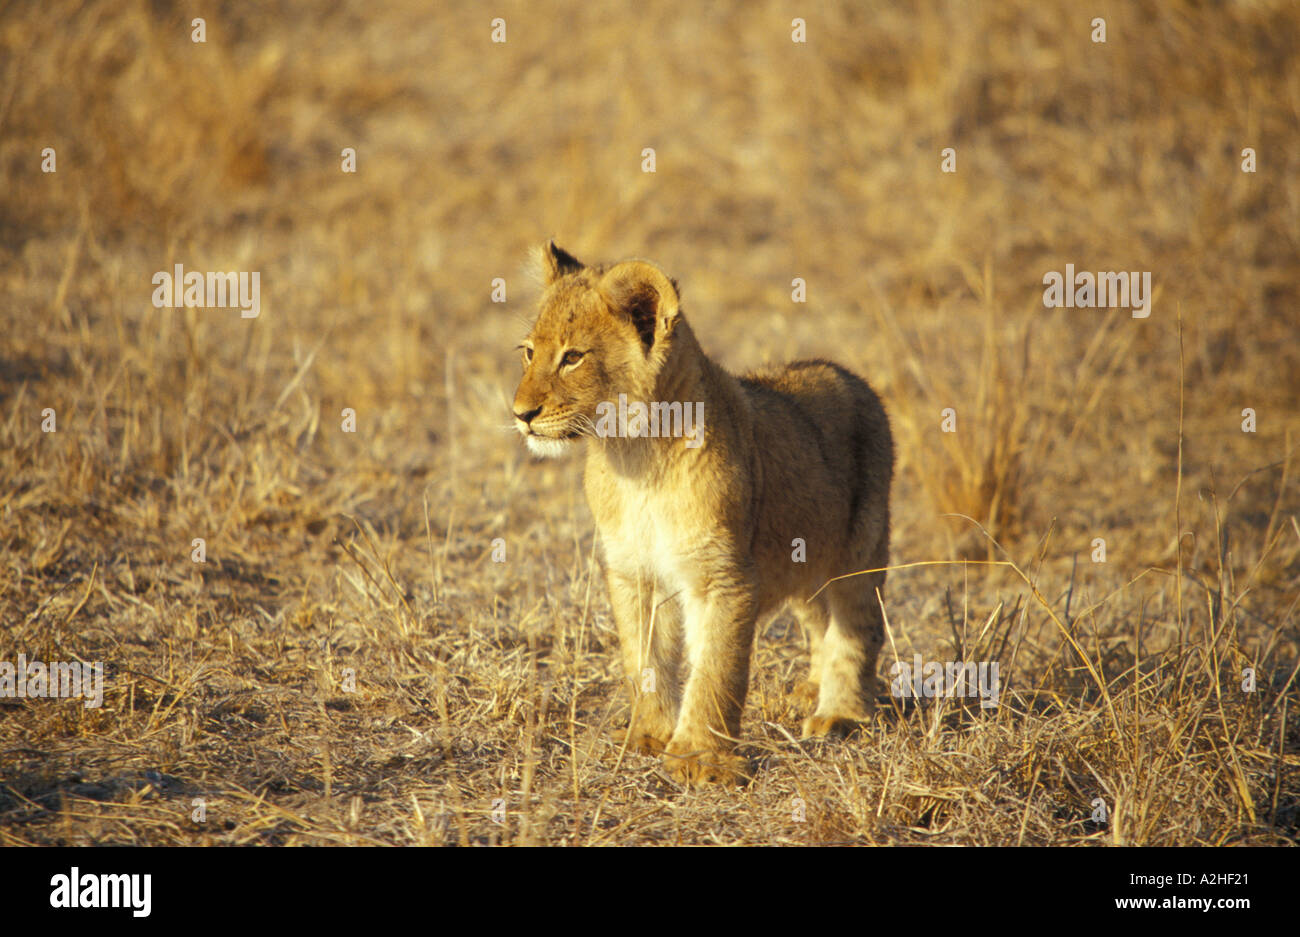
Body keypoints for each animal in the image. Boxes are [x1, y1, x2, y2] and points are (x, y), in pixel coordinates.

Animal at [512, 242, 893, 784]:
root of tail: (847, 374)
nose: (520, 414)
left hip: (859, 550)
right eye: (529, 351)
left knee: (856, 627)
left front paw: (699, 758)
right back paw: (808, 691)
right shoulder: (634, 572)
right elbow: (644, 659)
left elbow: (716, 670)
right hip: (804, 554)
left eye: (572, 358)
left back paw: (839, 714)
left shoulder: (723, 576)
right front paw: (648, 737)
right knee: (818, 618)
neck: (635, 456)